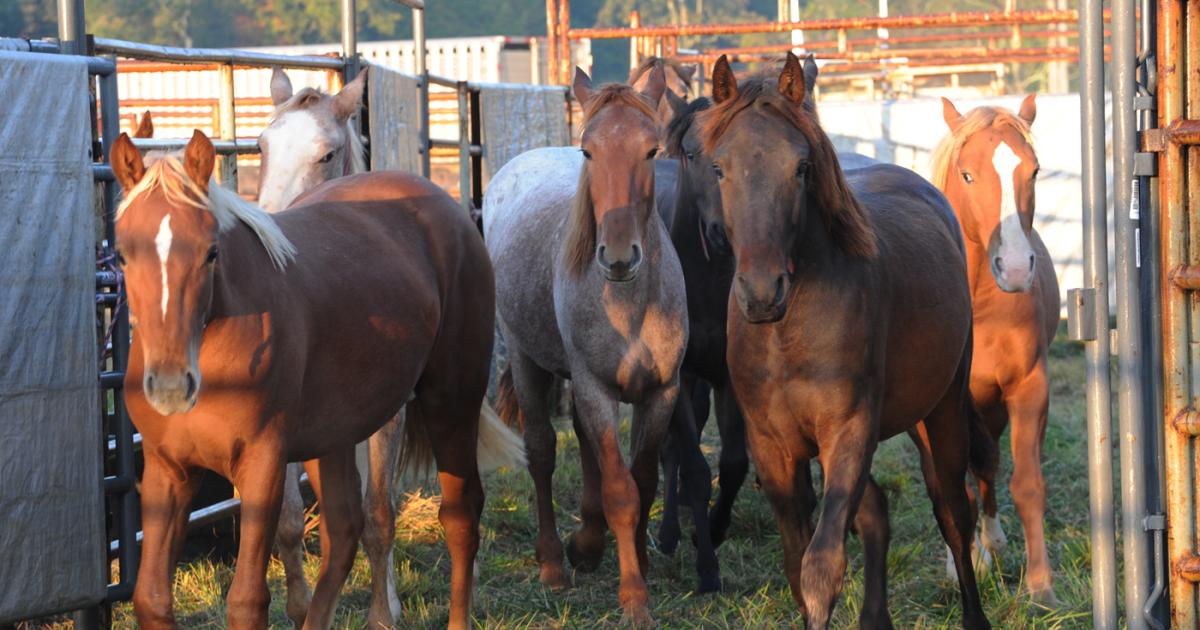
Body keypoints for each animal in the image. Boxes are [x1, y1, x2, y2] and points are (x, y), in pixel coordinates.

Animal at [110, 130, 517, 630]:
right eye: (123, 254)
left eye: (211, 252)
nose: (170, 385)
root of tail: (448, 207)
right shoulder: (169, 470)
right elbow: (151, 598)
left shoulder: (262, 464)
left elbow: (247, 601)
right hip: (335, 436)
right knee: (343, 531)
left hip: (451, 401)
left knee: (460, 516)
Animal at [484, 66, 687, 626]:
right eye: (588, 151)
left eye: (651, 150)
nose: (618, 256)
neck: (631, 305)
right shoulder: (596, 387)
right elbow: (621, 491)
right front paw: (634, 597)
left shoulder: (662, 391)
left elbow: (642, 479)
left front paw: (635, 562)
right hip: (528, 360)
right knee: (542, 453)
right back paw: (554, 563)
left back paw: (587, 545)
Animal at [698, 53, 994, 629]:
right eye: (719, 168)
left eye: (801, 167)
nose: (761, 292)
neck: (786, 335)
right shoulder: (775, 448)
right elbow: (798, 564)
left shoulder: (849, 431)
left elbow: (822, 567)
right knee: (877, 511)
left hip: (940, 411)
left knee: (953, 510)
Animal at [933, 96, 1061, 605]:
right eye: (967, 174)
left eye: (1034, 170)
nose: (1016, 267)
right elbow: (951, 489)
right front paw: (961, 566)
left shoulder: (1028, 388)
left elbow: (1026, 483)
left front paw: (1041, 585)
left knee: (987, 467)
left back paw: (994, 541)